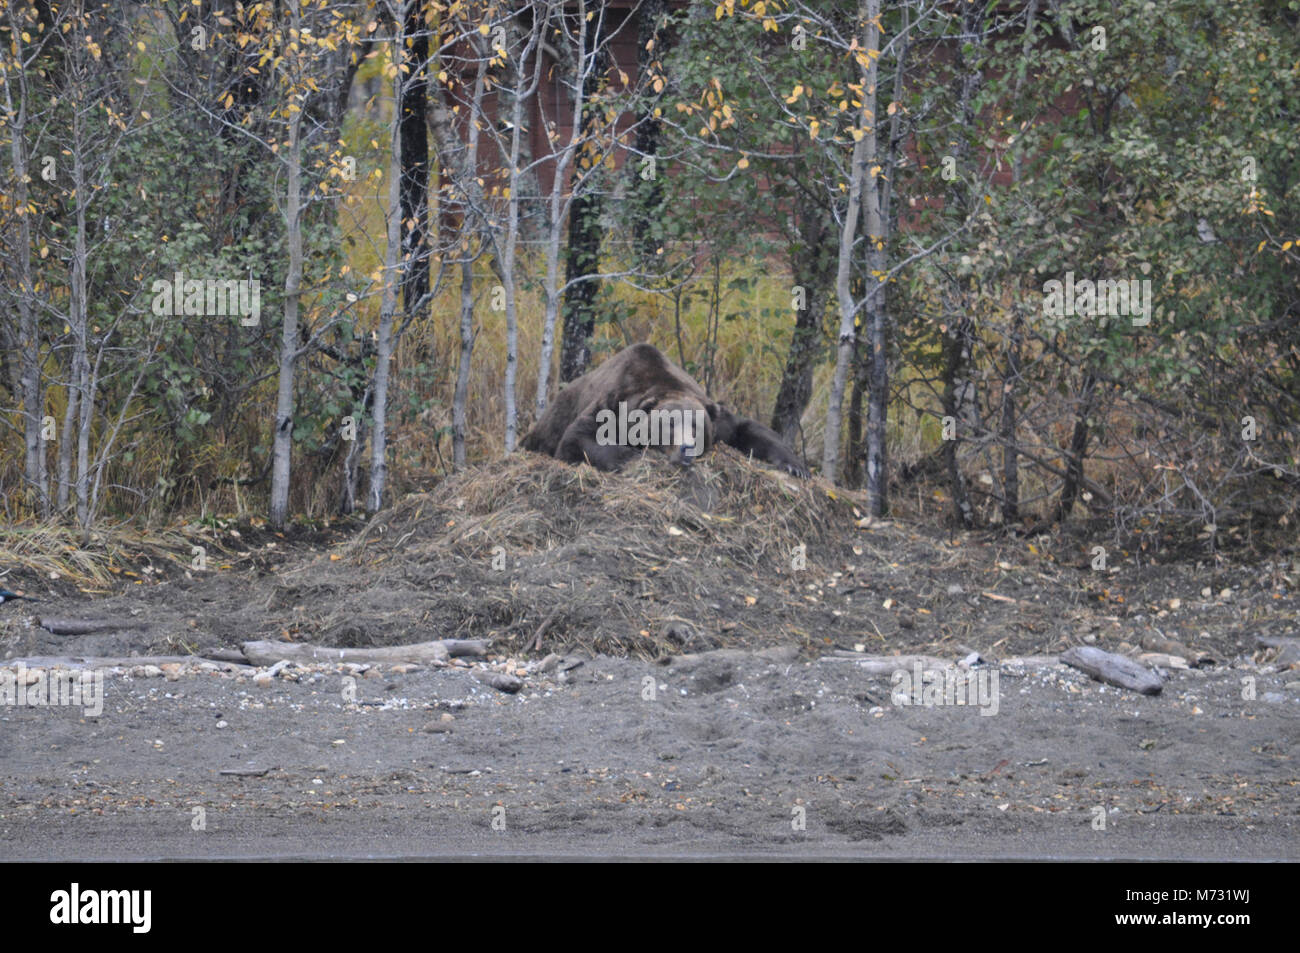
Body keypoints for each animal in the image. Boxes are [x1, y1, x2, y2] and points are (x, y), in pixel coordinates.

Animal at [520, 343, 810, 478]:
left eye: (696, 426)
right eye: (668, 424)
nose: (685, 449)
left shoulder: (717, 419)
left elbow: (748, 429)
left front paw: (796, 466)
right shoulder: (613, 404)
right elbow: (577, 437)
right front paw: (630, 455)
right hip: (547, 425)